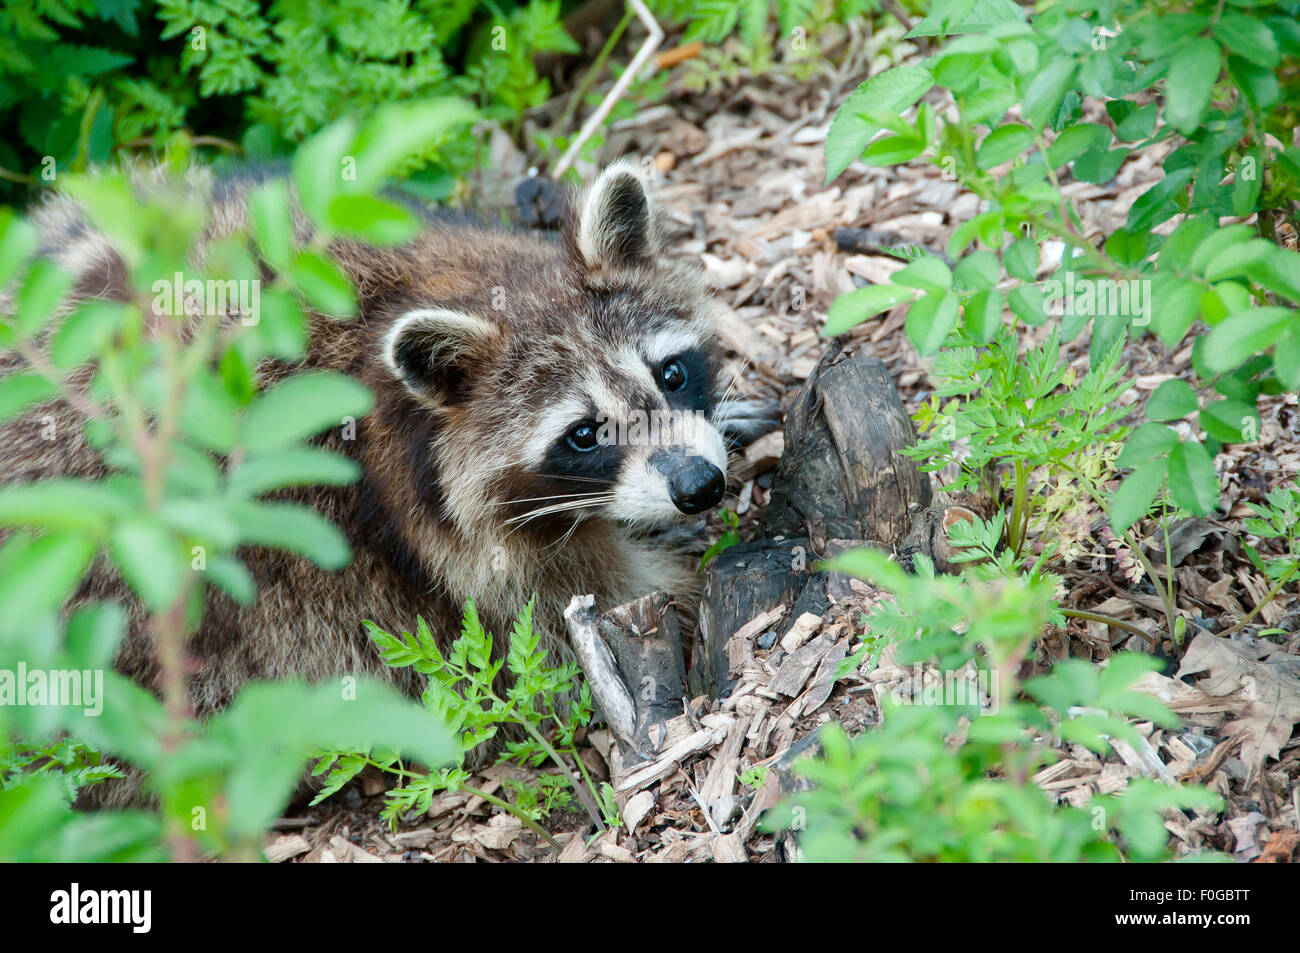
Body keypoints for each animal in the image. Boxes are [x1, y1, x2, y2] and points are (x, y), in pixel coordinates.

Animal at [1, 160, 774, 801]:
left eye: (670, 373)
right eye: (584, 434)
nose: (699, 485)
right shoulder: (416, 541)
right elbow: (565, 611)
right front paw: (679, 592)